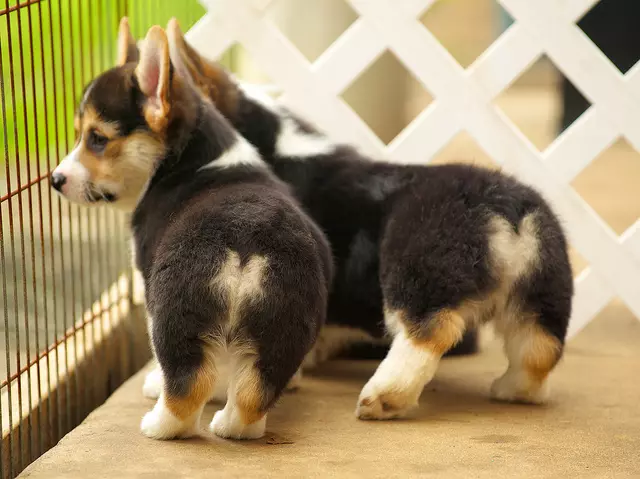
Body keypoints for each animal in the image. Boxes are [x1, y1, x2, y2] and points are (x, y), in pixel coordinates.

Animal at [50, 24, 332, 440]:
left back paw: (157, 423)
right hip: (288, 319)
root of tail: (247, 246)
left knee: (185, 385)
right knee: (255, 391)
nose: (55, 180)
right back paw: (232, 426)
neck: (186, 156)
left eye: (97, 139)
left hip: (172, 310)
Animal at [166, 19, 576, 424]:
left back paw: (385, 395)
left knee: (429, 331)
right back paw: (514, 389)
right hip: (543, 292)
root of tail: (508, 209)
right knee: (539, 346)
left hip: (416, 272)